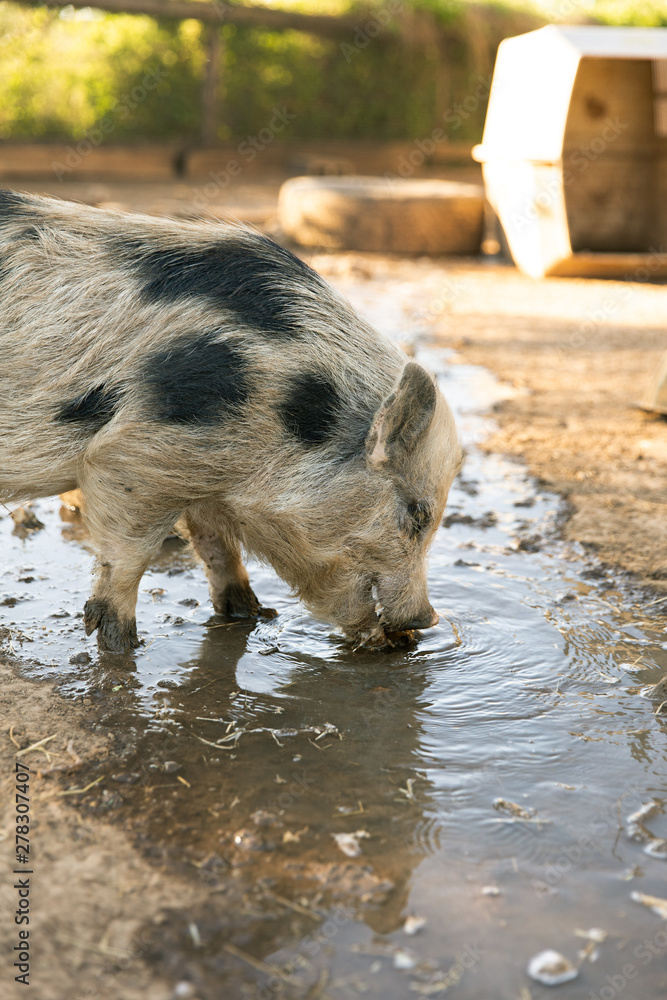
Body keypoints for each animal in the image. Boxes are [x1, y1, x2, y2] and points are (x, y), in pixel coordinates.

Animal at [0, 189, 462, 652]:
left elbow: (218, 546)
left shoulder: (204, 476)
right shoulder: (134, 457)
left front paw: (252, 614)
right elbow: (129, 552)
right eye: (417, 514)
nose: (428, 618)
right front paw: (123, 643)